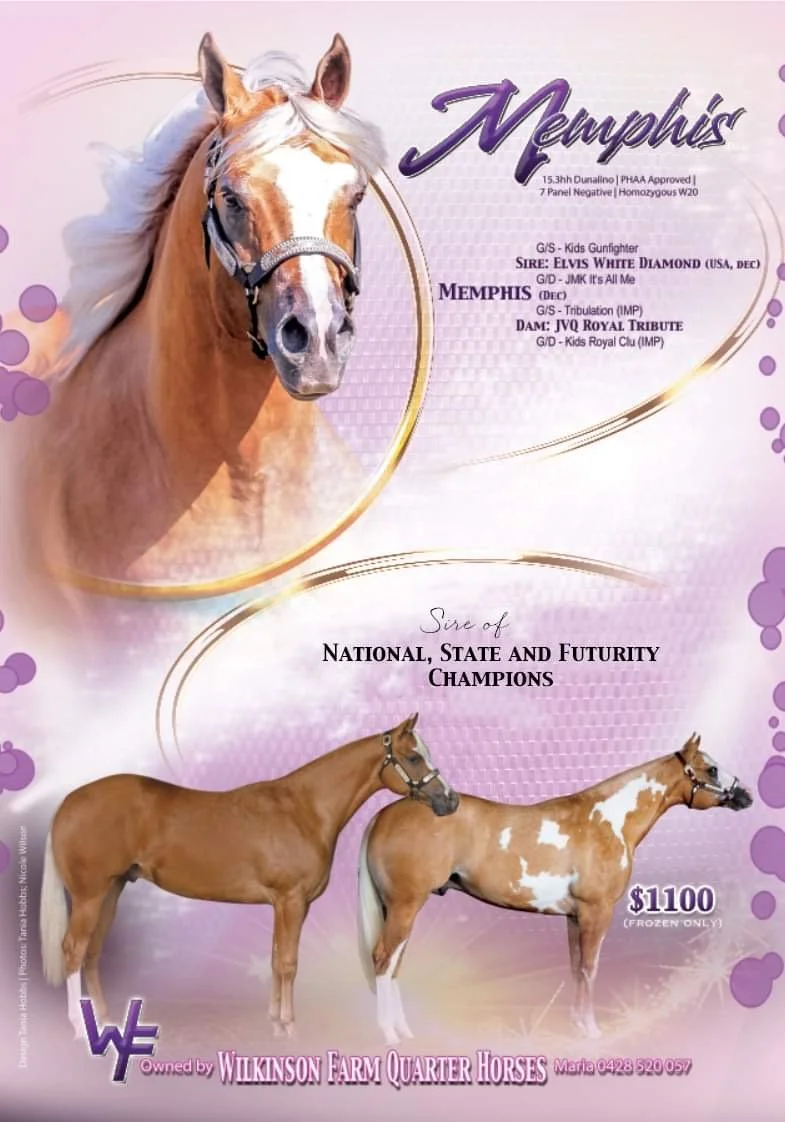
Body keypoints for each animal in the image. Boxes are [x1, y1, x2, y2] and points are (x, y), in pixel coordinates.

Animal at [39, 714, 459, 1038]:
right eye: (413, 757)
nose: (450, 800)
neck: (304, 809)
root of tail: (69, 802)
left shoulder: (284, 904)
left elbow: (275, 959)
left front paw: (274, 1023)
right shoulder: (291, 900)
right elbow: (288, 962)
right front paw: (290, 1027)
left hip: (110, 891)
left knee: (92, 952)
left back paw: (103, 1021)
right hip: (90, 895)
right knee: (73, 949)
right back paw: (79, 1027)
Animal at [358, 733, 753, 1044]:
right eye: (711, 769)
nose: (745, 796)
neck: (608, 821)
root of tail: (381, 815)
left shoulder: (575, 917)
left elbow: (576, 966)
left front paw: (577, 1023)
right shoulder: (597, 911)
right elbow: (590, 967)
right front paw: (592, 1030)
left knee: (394, 964)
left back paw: (404, 1031)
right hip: (406, 905)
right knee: (383, 959)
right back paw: (389, 1035)